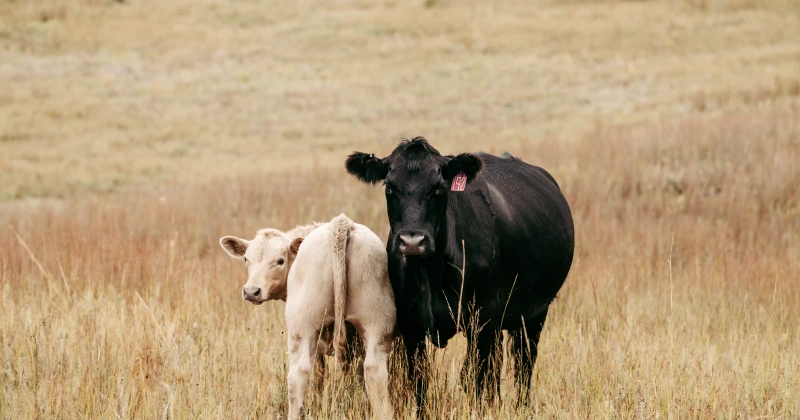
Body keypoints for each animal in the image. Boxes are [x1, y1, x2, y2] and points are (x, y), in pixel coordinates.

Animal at [219, 214, 396, 420]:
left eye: (280, 261)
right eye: (246, 259)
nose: (251, 291)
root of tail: (342, 223)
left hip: (302, 328)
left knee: (298, 374)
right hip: (375, 326)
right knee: (374, 371)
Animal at [345, 137, 574, 413]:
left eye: (438, 188)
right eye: (389, 188)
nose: (413, 242)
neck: (433, 274)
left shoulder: (482, 319)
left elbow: (476, 378)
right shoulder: (411, 324)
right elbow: (420, 380)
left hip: (534, 313)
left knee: (523, 362)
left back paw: (522, 407)